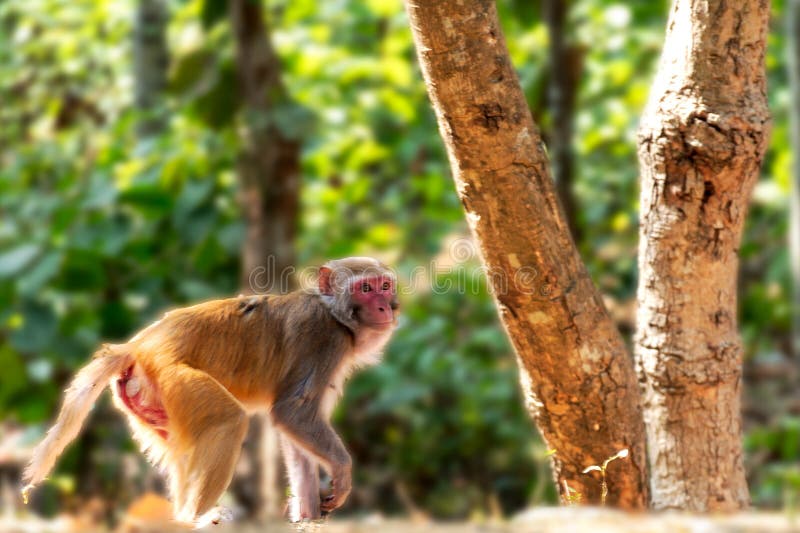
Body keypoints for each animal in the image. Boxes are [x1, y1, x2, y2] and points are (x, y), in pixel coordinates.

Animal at [21, 257, 398, 527]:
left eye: (384, 286)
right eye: (365, 288)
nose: (385, 307)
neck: (334, 314)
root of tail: (139, 345)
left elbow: (296, 434)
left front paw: (307, 514)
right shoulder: (324, 341)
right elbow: (292, 412)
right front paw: (342, 472)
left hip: (150, 397)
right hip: (176, 378)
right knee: (228, 421)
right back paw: (196, 518)